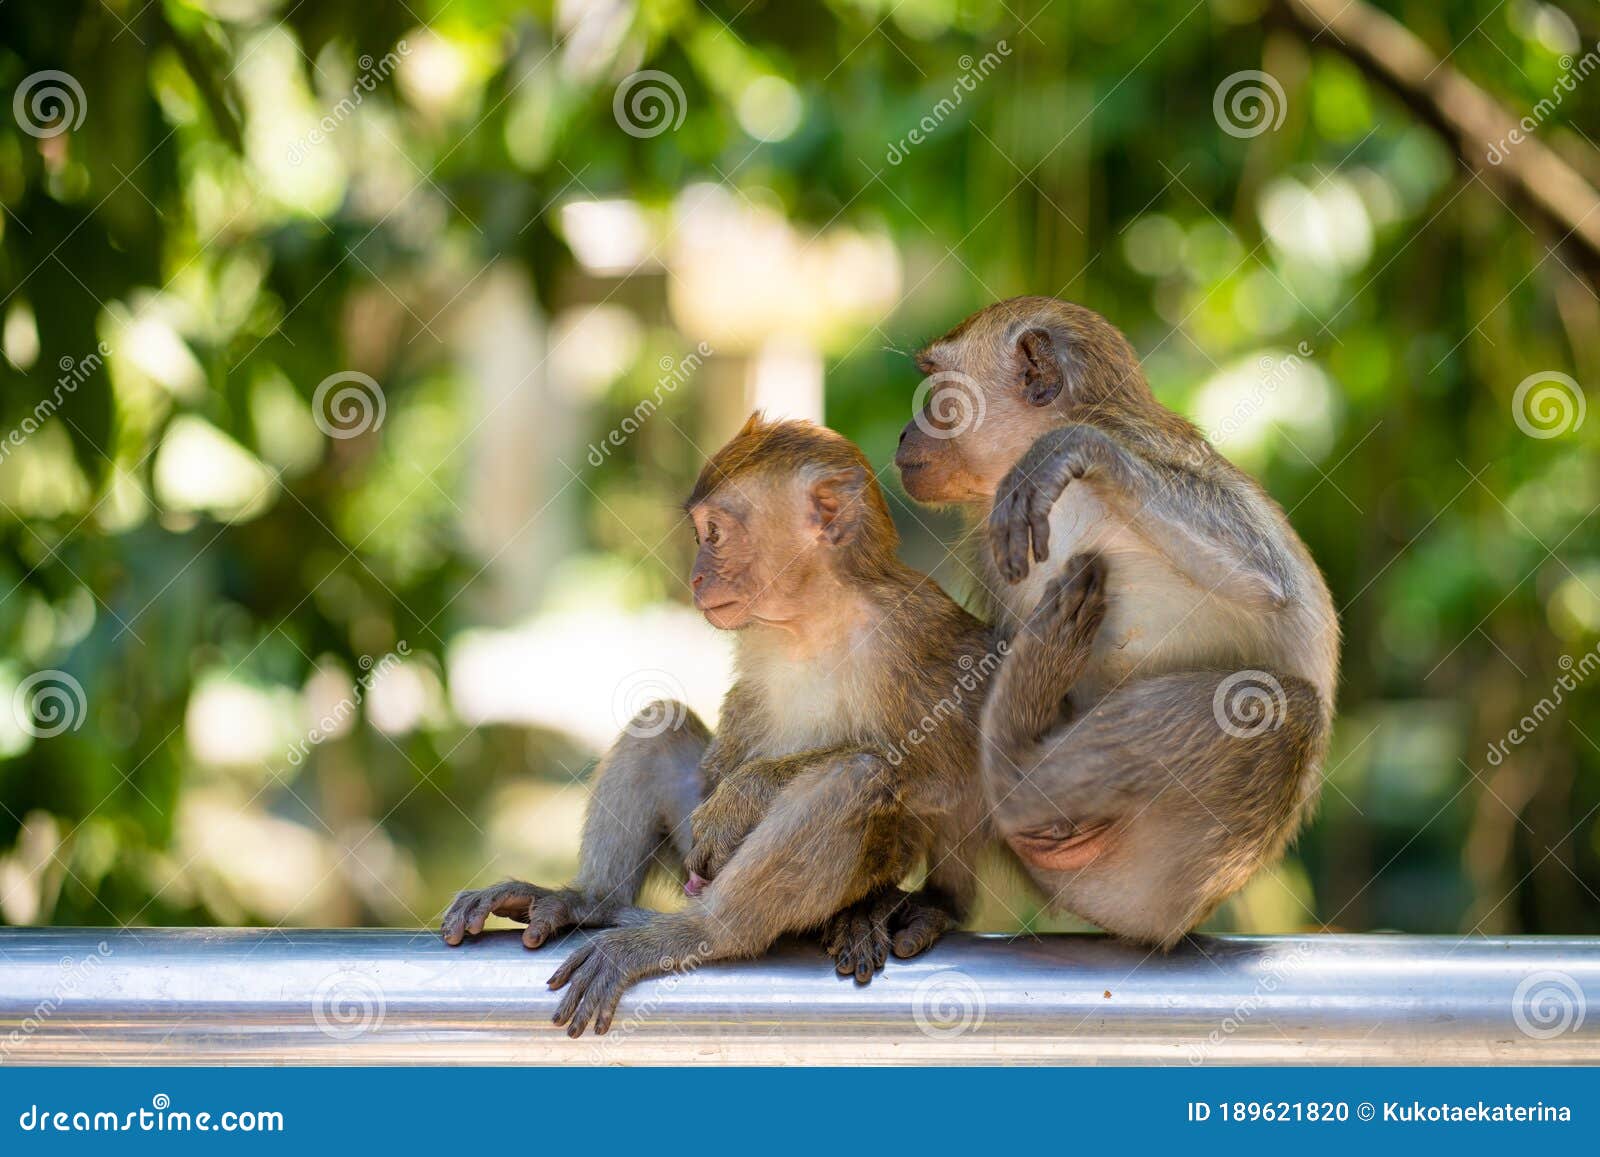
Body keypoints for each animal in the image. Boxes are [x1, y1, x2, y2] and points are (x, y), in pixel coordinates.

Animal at [442, 415, 998, 1035]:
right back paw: (590, 900)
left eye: (714, 533)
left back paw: (704, 930)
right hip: (693, 862)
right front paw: (729, 783)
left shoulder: (916, 632)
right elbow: (719, 754)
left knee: (857, 776)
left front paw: (748, 796)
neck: (812, 619)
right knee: (662, 729)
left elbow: (952, 778)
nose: (695, 577)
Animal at [891, 296, 1339, 948]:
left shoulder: (1136, 442)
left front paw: (1071, 450)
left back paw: (1018, 770)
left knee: (1273, 707)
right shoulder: (990, 544)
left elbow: (1267, 576)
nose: (904, 432)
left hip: (1177, 859)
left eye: (936, 391)